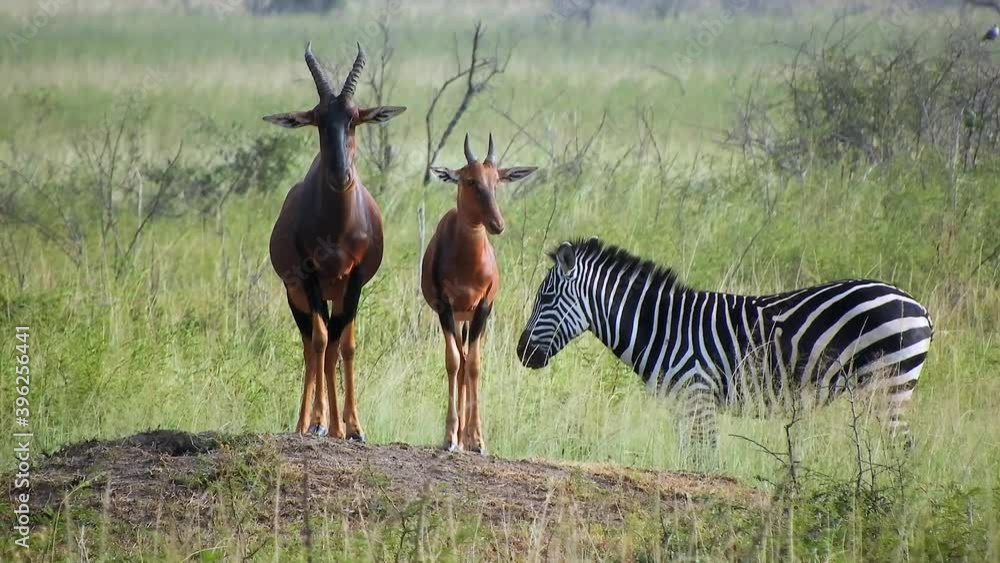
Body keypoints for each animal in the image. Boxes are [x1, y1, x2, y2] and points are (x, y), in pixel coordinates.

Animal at [516, 238, 933, 458]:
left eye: (546, 297)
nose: (522, 353)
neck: (662, 327)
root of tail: (918, 305)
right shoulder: (683, 404)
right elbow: (688, 459)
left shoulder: (698, 395)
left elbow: (705, 459)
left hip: (889, 385)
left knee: (904, 450)